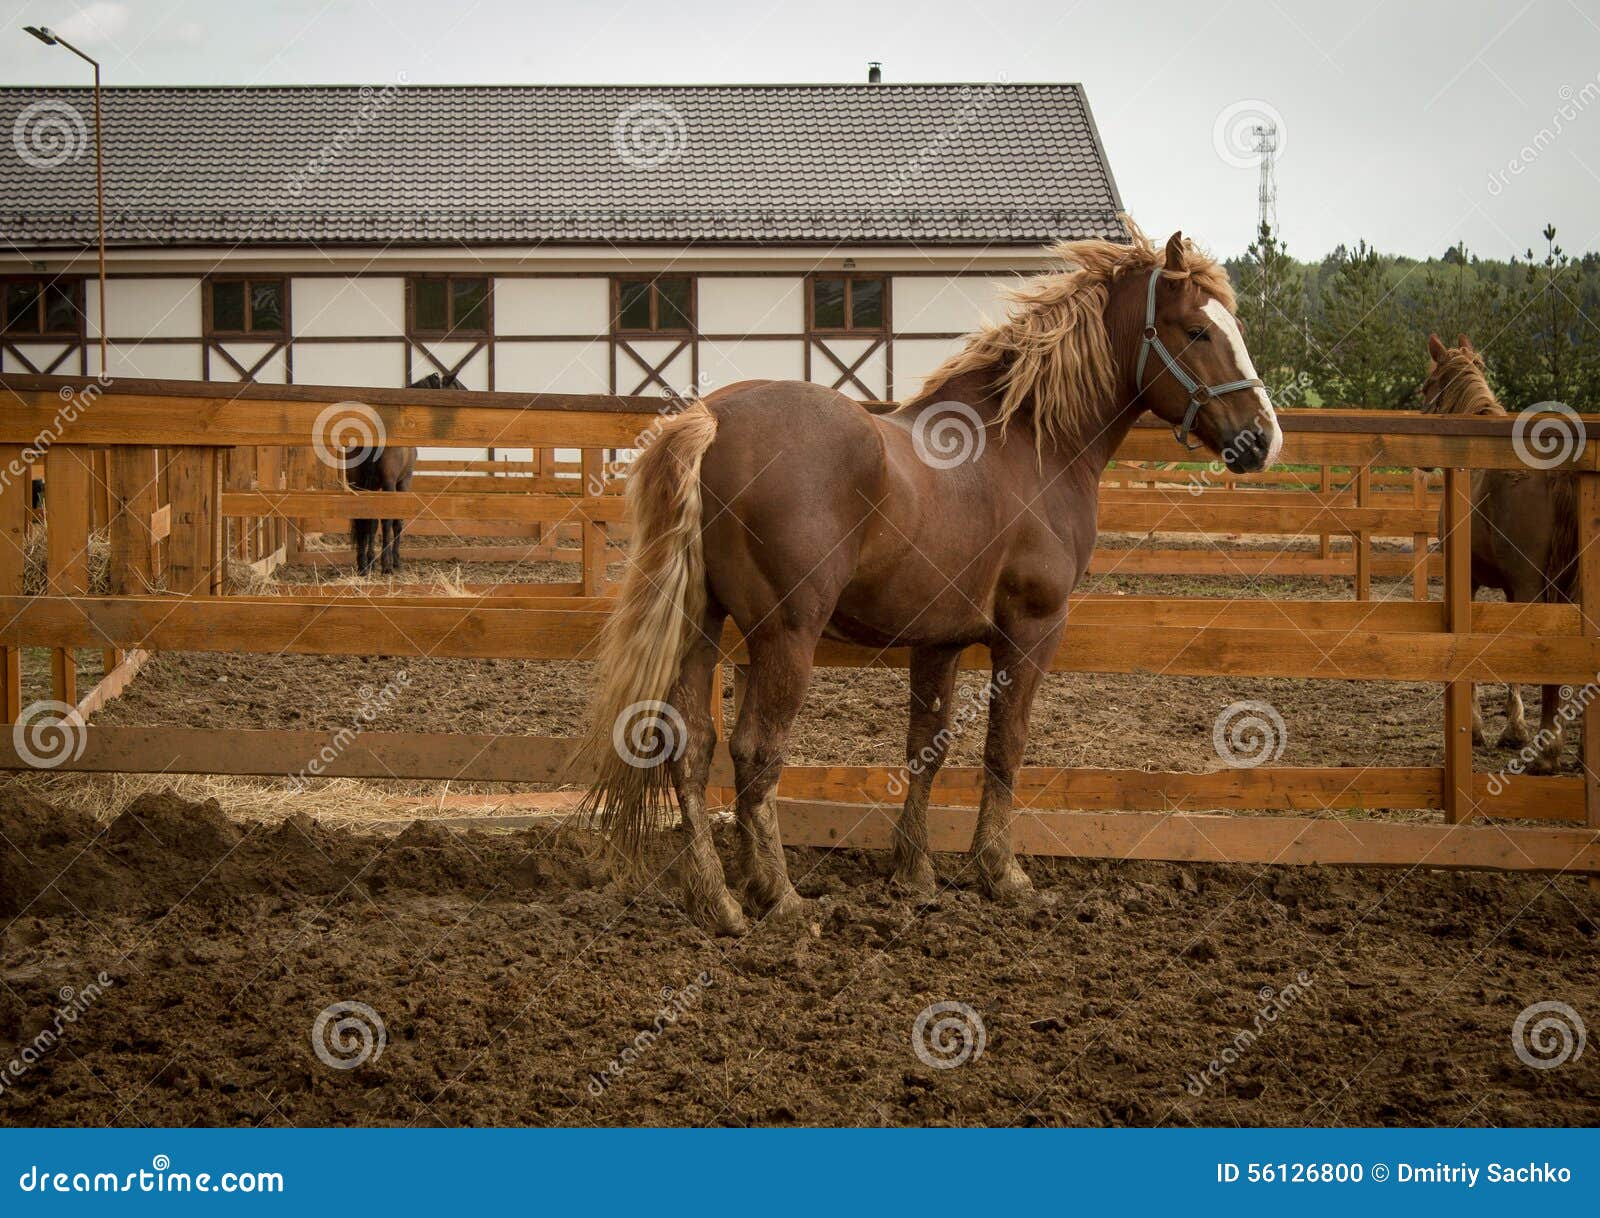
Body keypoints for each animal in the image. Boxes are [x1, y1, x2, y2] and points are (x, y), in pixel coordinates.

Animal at [347, 372, 464, 575]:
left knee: (363, 519)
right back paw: (387, 564)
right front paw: (394, 561)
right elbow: (396, 522)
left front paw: (370, 562)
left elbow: (371, 523)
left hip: (359, 484)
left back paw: (364, 565)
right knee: (387, 521)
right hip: (389, 484)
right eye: (456, 386)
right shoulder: (403, 482)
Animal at [576, 223, 1282, 935]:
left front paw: (914, 871)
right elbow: (1005, 747)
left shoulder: (937, 641)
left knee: (690, 751)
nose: (1262, 439)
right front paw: (1003, 873)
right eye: (1196, 330)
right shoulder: (1031, 631)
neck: (1030, 444)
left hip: (701, 627)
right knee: (755, 753)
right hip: (785, 637)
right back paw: (780, 895)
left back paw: (719, 900)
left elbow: (927, 748)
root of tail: (713, 420)